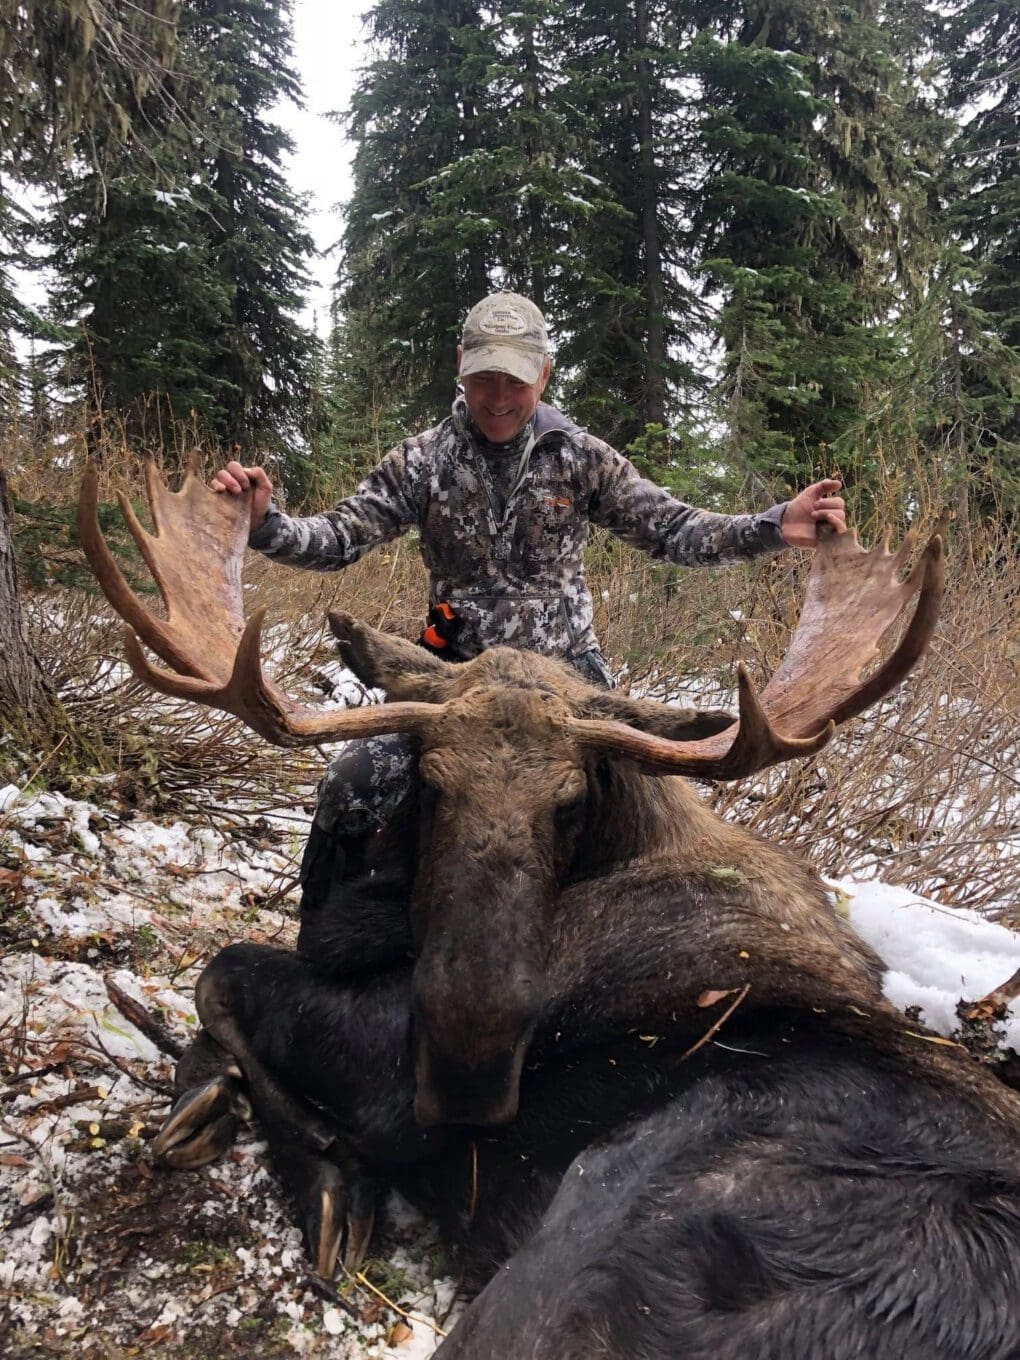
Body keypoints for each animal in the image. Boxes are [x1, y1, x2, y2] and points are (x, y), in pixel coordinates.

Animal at [78, 462, 1020, 1359]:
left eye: (570, 799)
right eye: (431, 778)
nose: (467, 1064)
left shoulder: (387, 1071)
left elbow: (221, 973)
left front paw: (314, 1166)